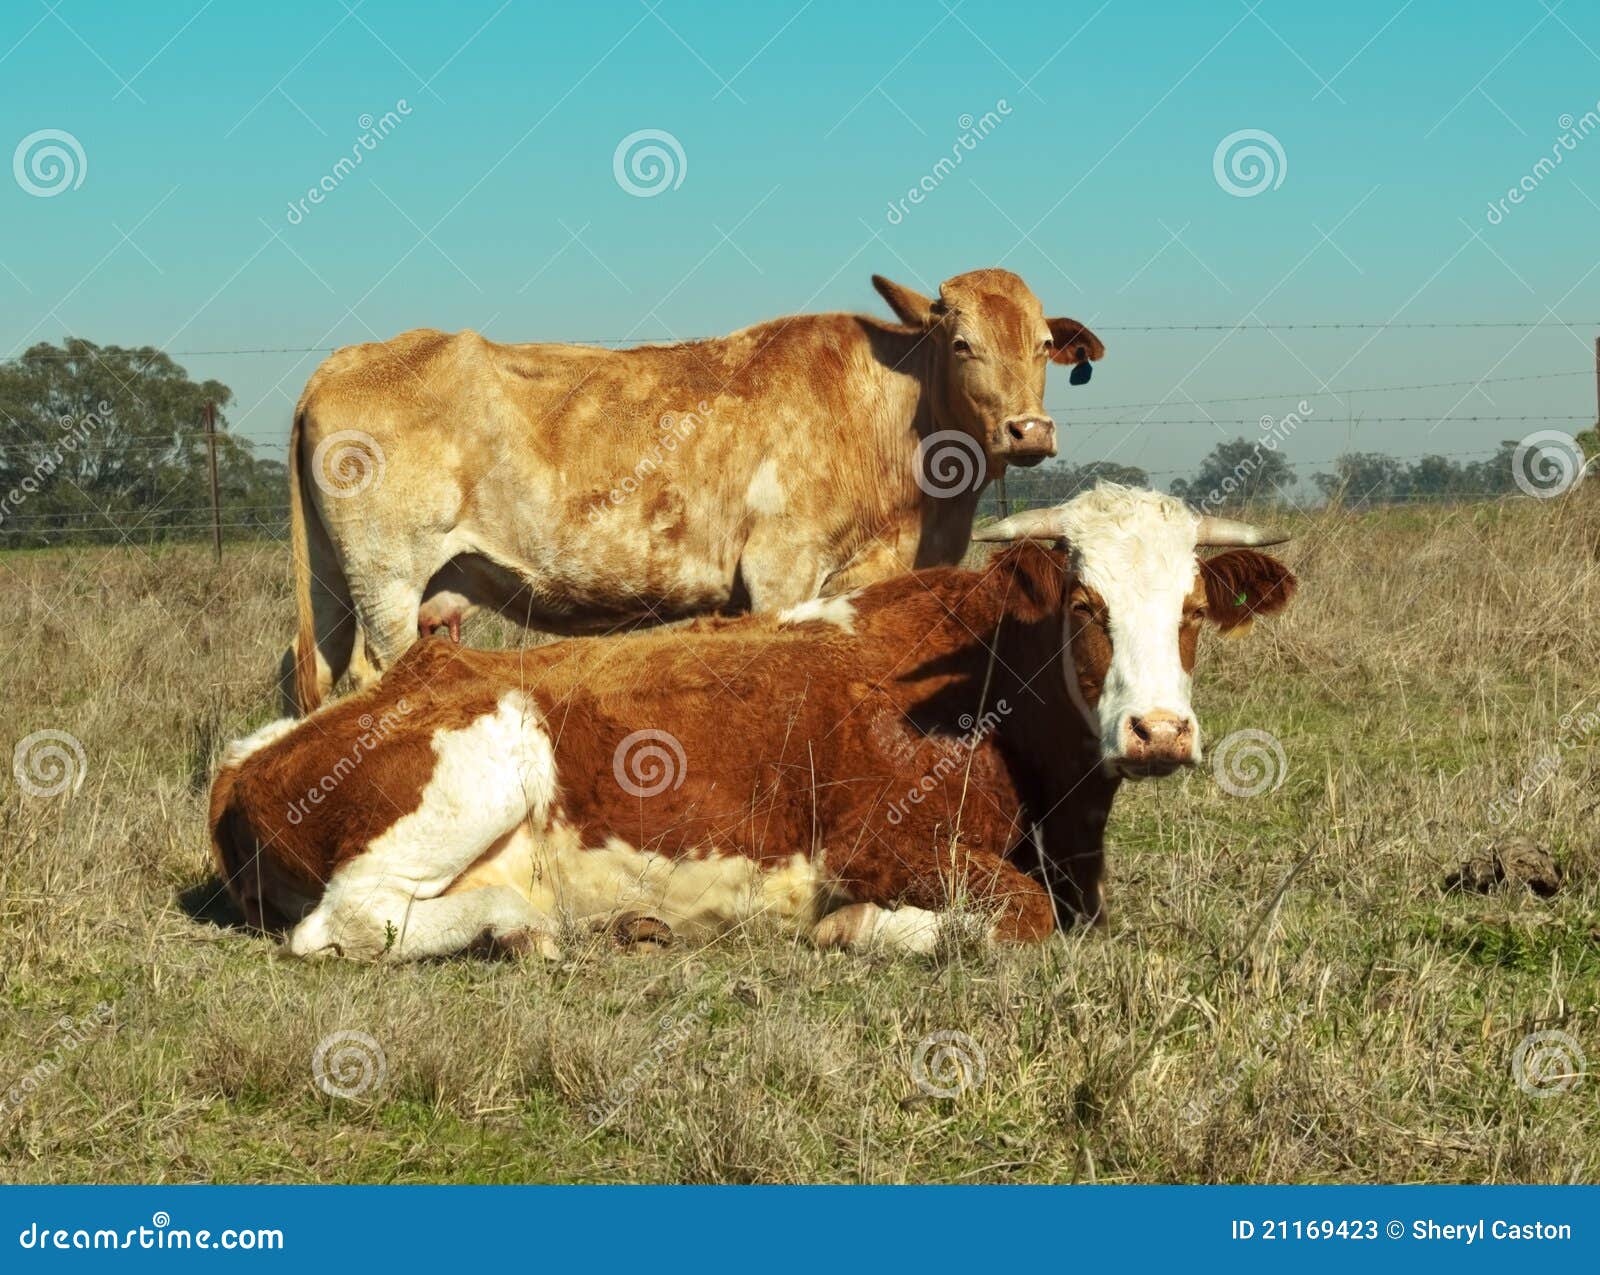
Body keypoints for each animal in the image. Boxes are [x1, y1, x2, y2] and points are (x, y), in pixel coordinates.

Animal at [216, 485, 1297, 961]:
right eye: (1086, 606)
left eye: (1192, 611)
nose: (1159, 731)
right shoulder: (875, 842)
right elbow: (1018, 916)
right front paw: (862, 927)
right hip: (489, 757)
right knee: (347, 921)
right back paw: (526, 925)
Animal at [282, 268, 1106, 714]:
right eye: (963, 344)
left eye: (1043, 346)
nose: (1030, 431)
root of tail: (343, 361)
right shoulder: (781, 566)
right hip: (388, 578)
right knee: (371, 674)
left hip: (335, 582)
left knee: (311, 670)